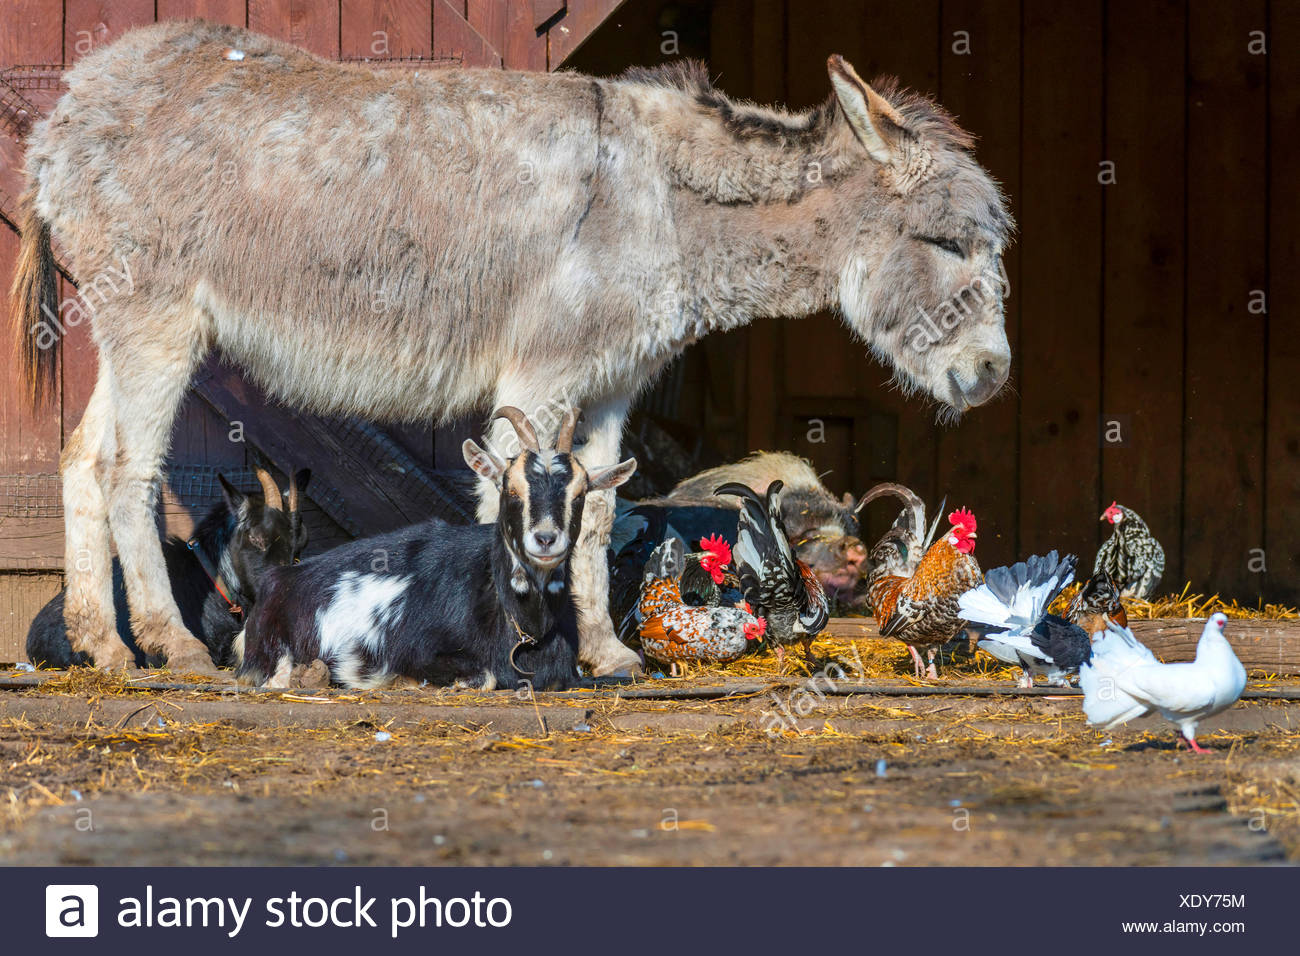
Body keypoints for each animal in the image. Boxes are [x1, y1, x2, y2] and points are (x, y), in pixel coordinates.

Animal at [237, 407, 636, 691]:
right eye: (510, 489)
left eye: (580, 494)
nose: (546, 538)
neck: (523, 625)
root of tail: (281, 575)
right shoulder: (415, 650)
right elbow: (484, 676)